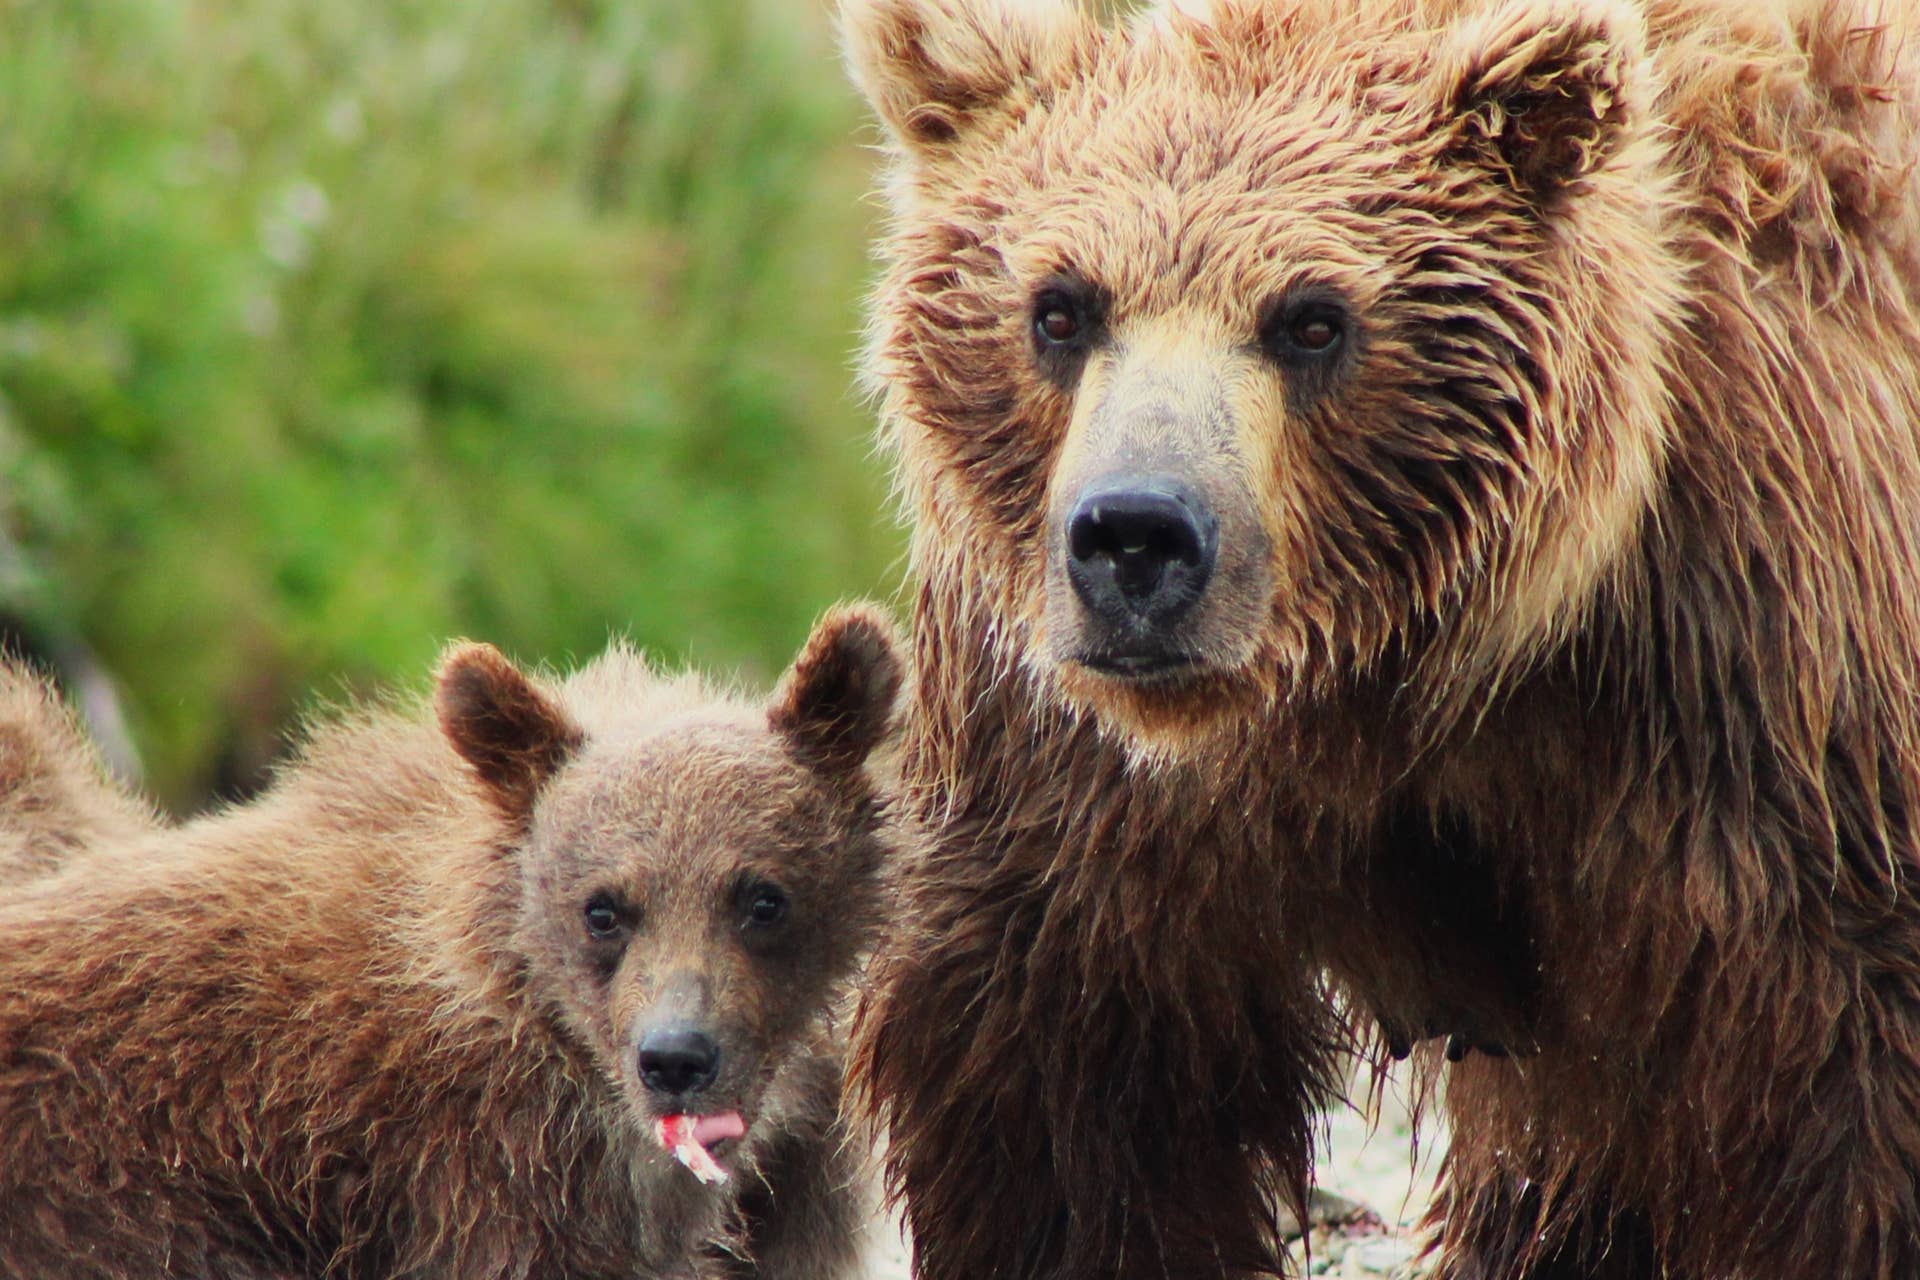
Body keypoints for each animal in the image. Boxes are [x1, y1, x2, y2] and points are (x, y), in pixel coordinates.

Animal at [837, 0, 1920, 1277]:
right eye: (1060, 305)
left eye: (1312, 318)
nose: (1138, 536)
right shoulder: (1088, 756)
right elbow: (1066, 1084)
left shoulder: (1752, 678)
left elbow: (1840, 1084)